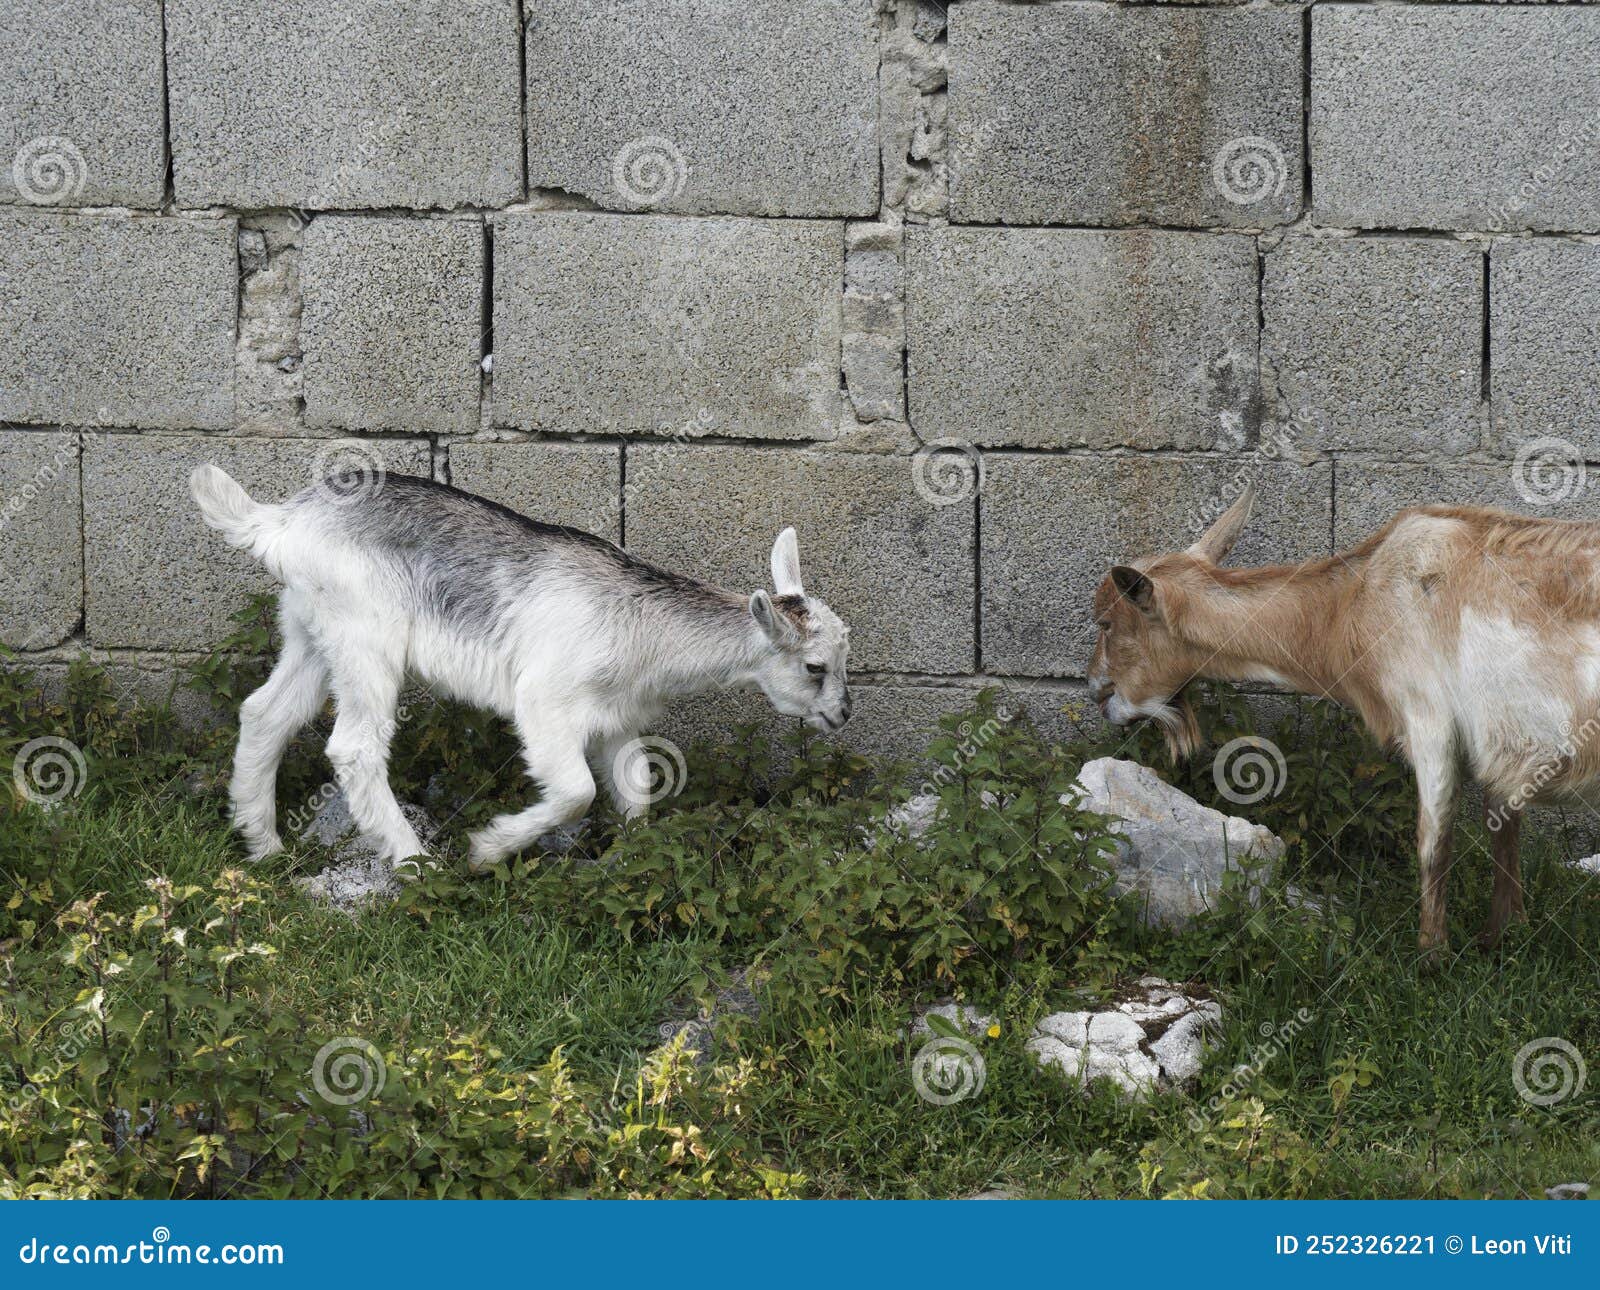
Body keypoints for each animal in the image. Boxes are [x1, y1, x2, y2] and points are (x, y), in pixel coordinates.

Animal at [188, 465, 852, 872]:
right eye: (815, 666)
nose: (842, 714)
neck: (640, 623)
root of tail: (280, 523)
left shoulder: (616, 720)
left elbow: (638, 789)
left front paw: (632, 862)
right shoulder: (545, 704)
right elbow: (578, 792)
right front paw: (487, 849)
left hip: (309, 633)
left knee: (265, 713)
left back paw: (263, 845)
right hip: (363, 641)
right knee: (354, 747)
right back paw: (413, 865)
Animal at [1086, 481, 1600, 959]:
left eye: (1106, 623)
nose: (1098, 692)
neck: (1351, 602)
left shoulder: (1428, 719)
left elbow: (1434, 843)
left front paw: (1431, 957)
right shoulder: (1502, 747)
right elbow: (1505, 831)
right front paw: (1503, 936)